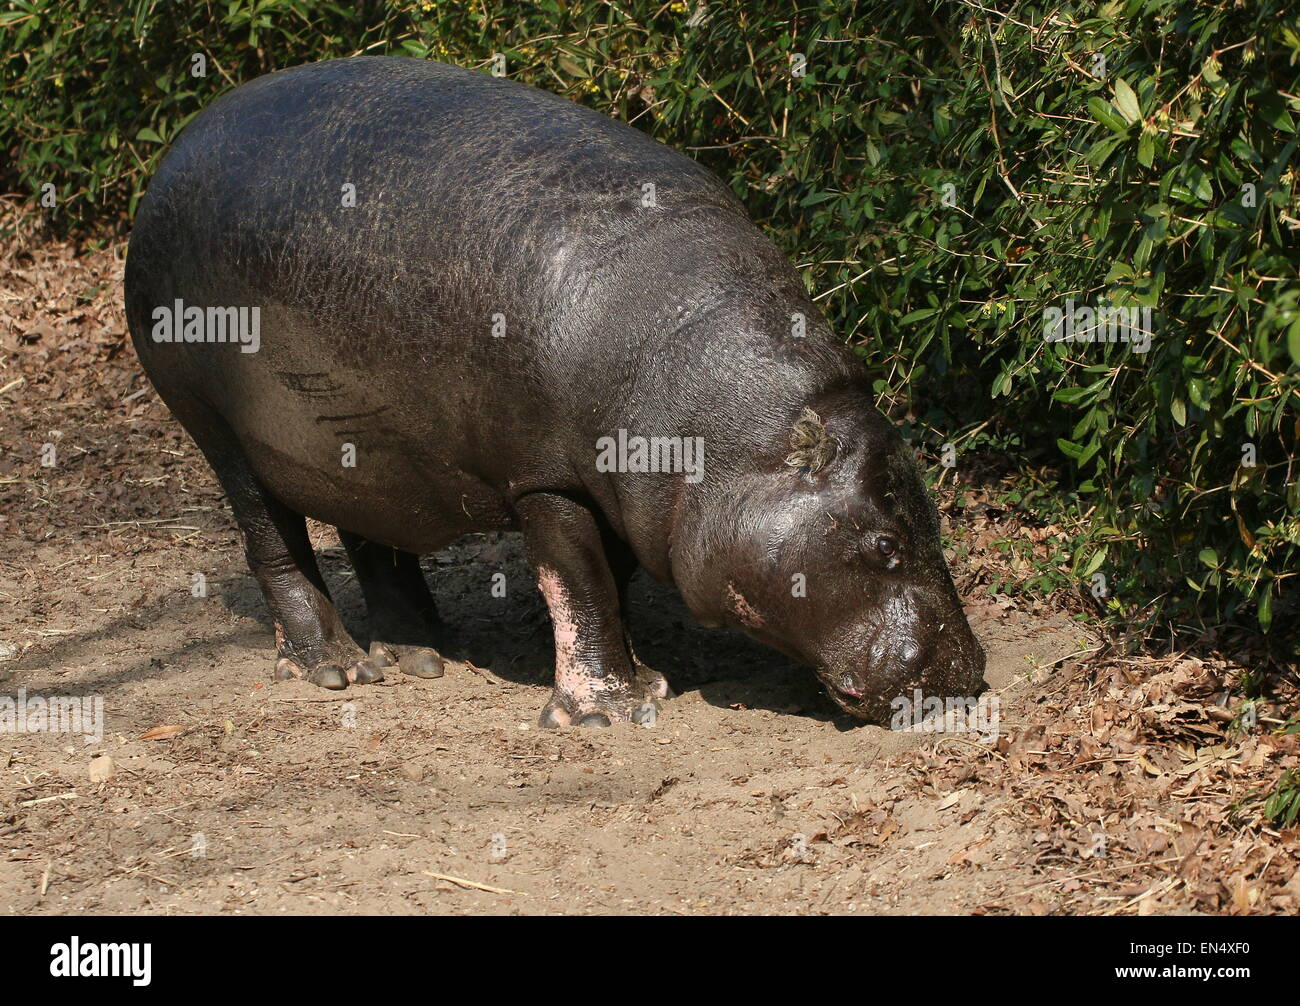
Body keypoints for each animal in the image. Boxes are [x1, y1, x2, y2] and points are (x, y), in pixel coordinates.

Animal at [125, 56, 985, 727]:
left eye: (935, 520)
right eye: (885, 544)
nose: (968, 673)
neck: (728, 432)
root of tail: (179, 144)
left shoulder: (629, 492)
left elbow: (612, 580)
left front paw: (644, 679)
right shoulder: (546, 478)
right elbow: (579, 579)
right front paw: (614, 708)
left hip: (362, 436)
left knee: (374, 532)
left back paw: (419, 656)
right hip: (217, 428)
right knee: (272, 543)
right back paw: (334, 668)